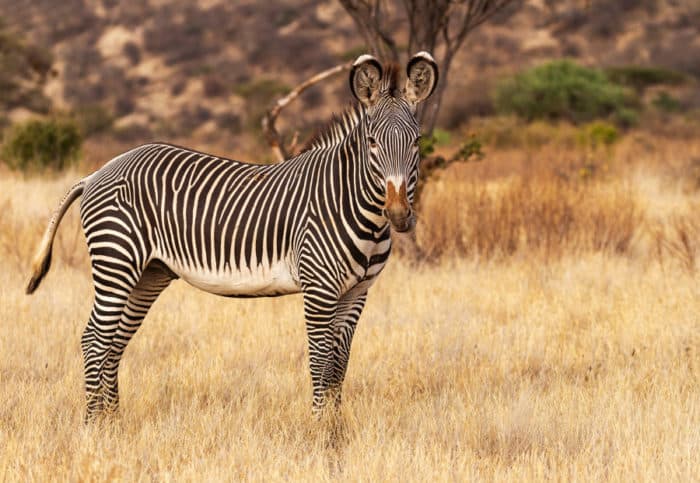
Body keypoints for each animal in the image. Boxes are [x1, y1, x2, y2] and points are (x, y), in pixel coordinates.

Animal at [26, 52, 438, 420]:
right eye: (372, 143)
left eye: (417, 142)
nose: (399, 215)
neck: (353, 205)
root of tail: (98, 171)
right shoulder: (319, 289)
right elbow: (321, 364)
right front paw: (320, 433)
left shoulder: (357, 293)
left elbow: (340, 366)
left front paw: (337, 432)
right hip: (117, 260)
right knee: (94, 339)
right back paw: (93, 426)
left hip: (148, 273)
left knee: (114, 342)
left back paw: (114, 424)